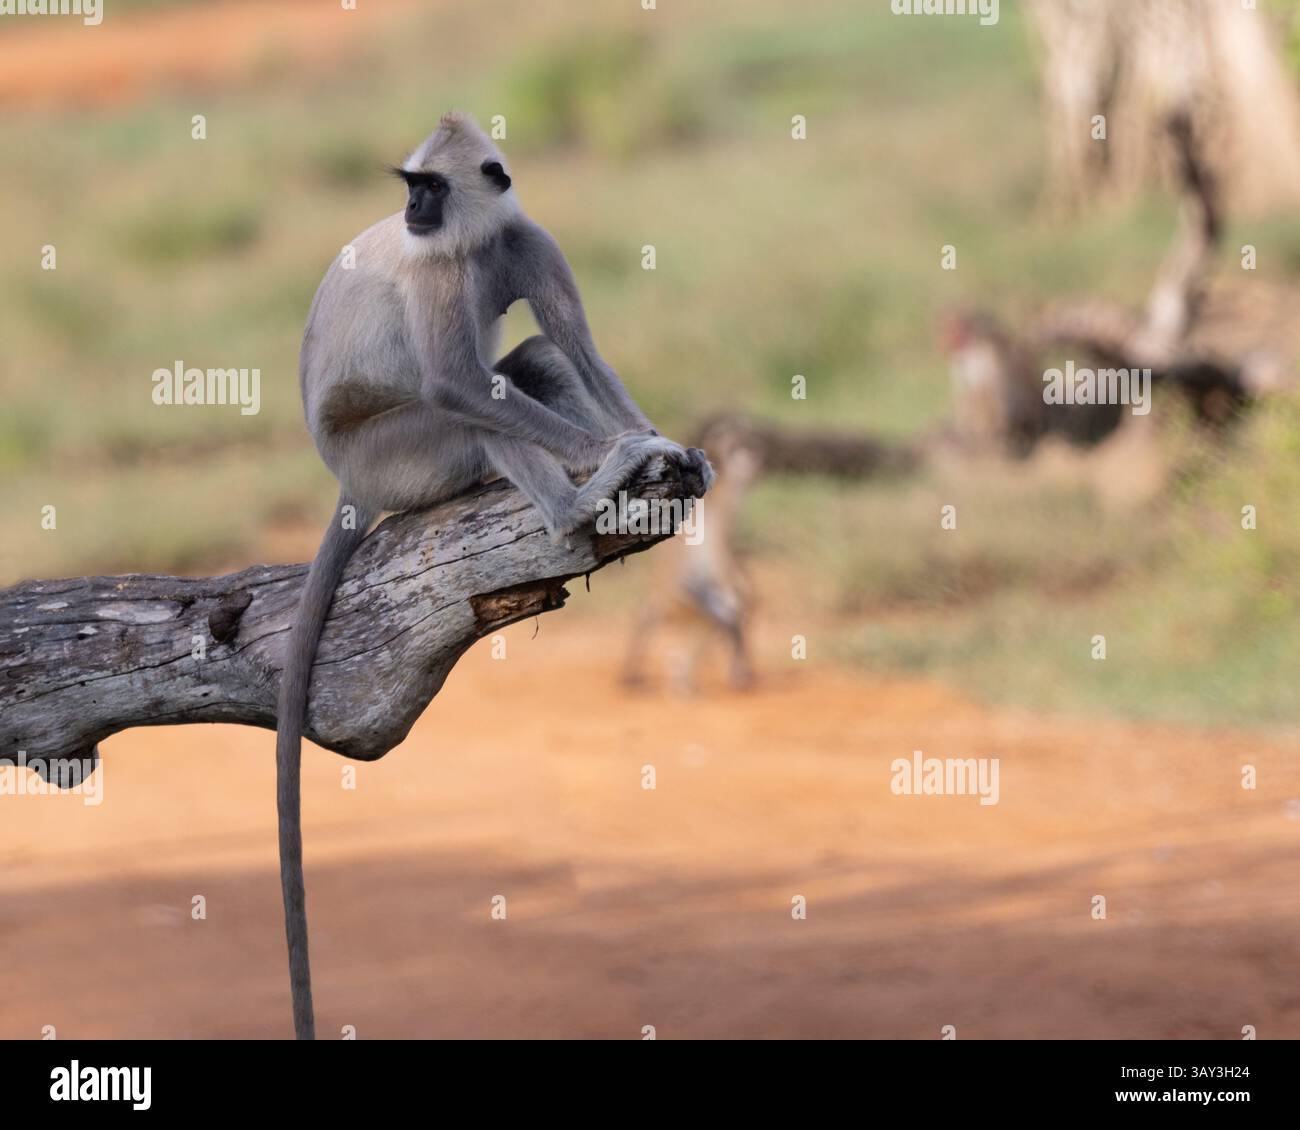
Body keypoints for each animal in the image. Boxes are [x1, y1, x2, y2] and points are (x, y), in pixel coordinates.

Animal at [279, 112, 712, 1039]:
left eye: (429, 188)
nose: (412, 212)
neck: (471, 243)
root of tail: (345, 479)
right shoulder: (437, 270)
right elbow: (455, 382)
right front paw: (624, 449)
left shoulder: (525, 238)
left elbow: (578, 345)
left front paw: (667, 446)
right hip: (396, 458)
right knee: (469, 406)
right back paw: (578, 505)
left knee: (536, 359)